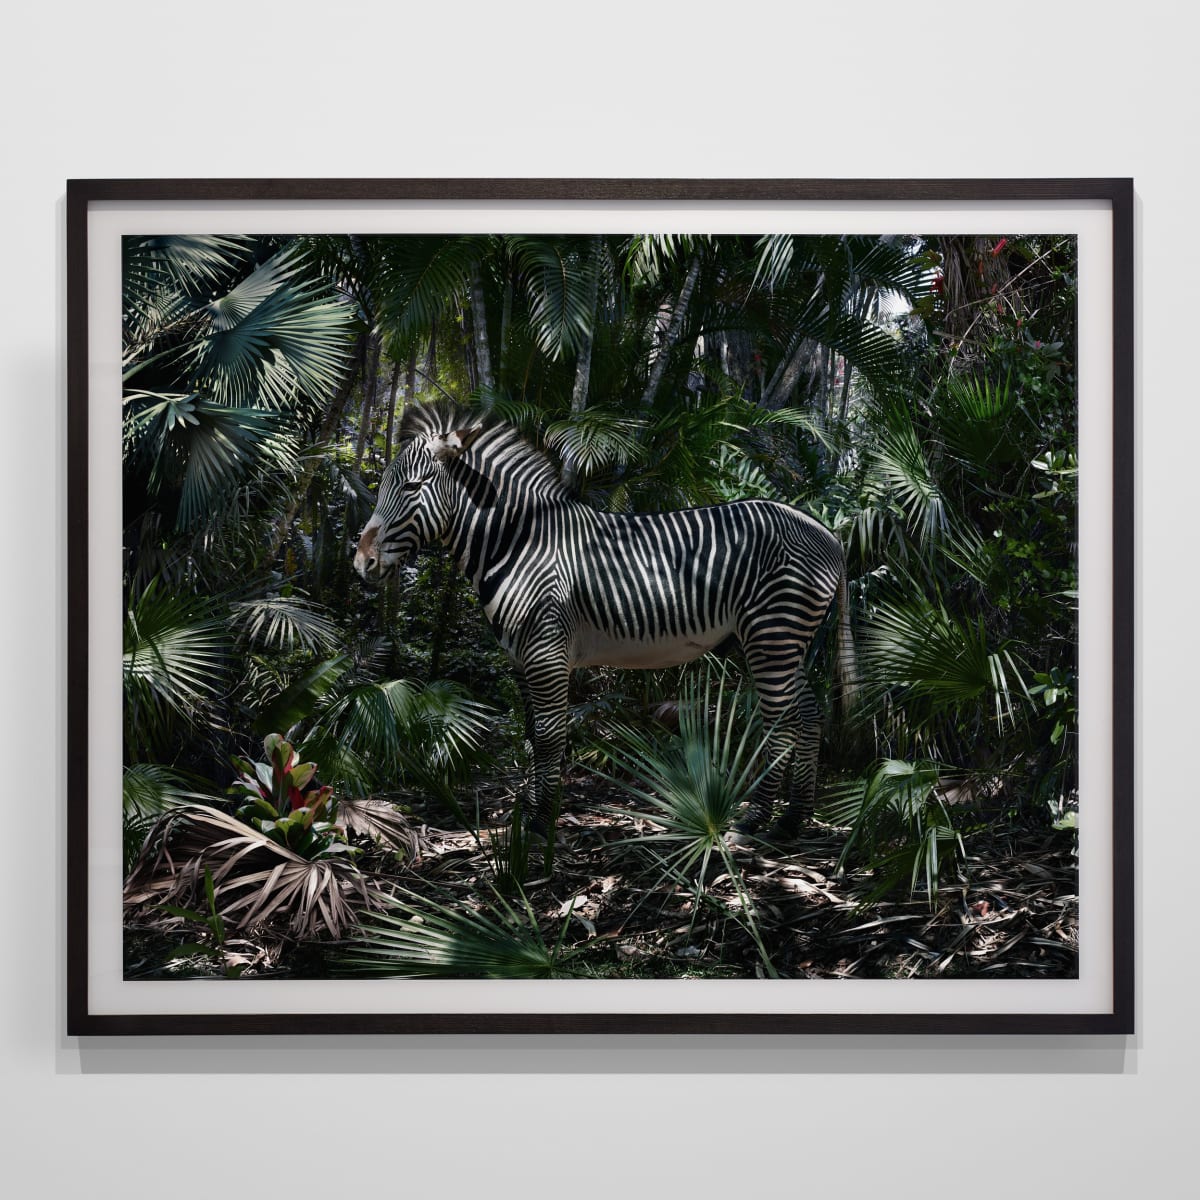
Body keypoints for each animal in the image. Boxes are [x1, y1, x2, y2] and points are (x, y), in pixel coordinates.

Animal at [354, 401, 856, 843]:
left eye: (413, 486)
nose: (362, 563)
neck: (518, 542)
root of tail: (827, 532)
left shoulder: (546, 651)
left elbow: (550, 735)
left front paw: (540, 825)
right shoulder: (521, 657)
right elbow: (533, 736)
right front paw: (529, 815)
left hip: (772, 632)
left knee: (783, 722)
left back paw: (753, 821)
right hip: (781, 641)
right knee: (809, 714)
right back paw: (792, 820)